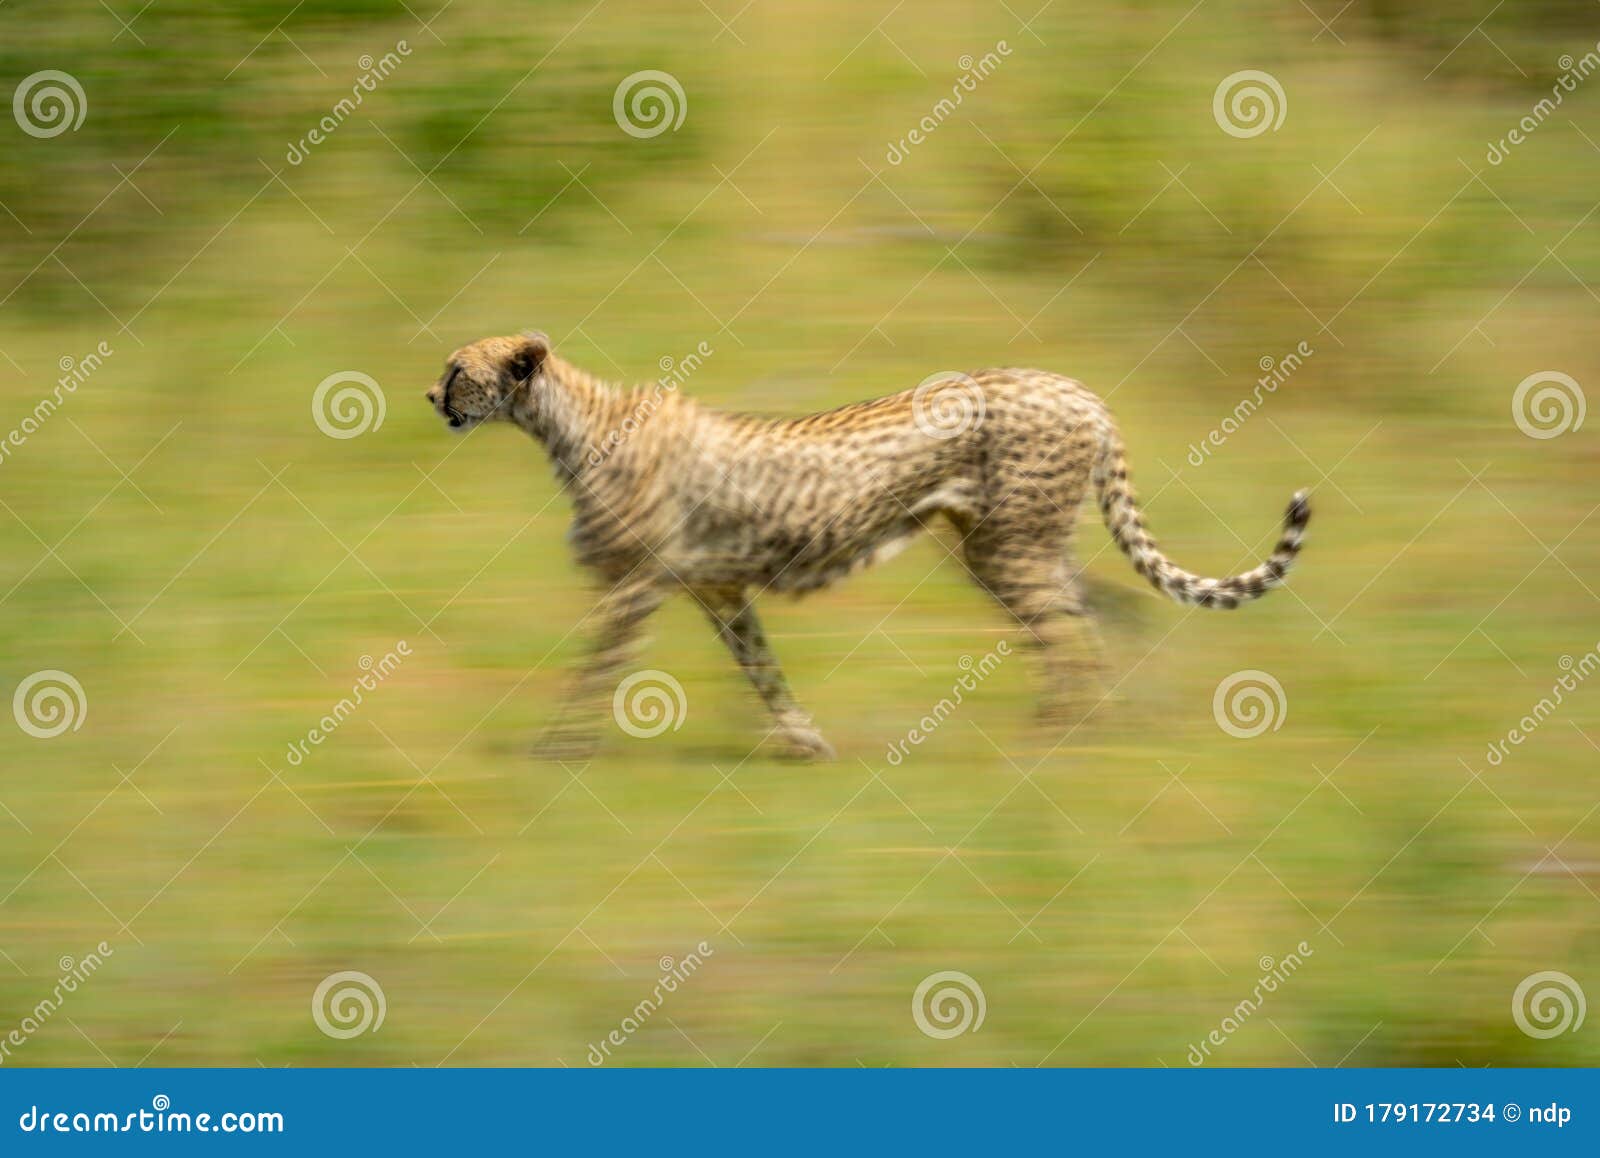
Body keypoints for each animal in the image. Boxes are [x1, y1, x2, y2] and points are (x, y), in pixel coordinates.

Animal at [426, 331, 1310, 761]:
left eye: (458, 368)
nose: (430, 395)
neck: (569, 421)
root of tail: (1074, 386)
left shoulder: (637, 587)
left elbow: (594, 672)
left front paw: (556, 750)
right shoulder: (719, 589)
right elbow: (762, 669)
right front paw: (805, 742)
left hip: (1007, 552)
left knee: (1066, 632)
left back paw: (1060, 736)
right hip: (1016, 545)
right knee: (1100, 614)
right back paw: (1111, 722)